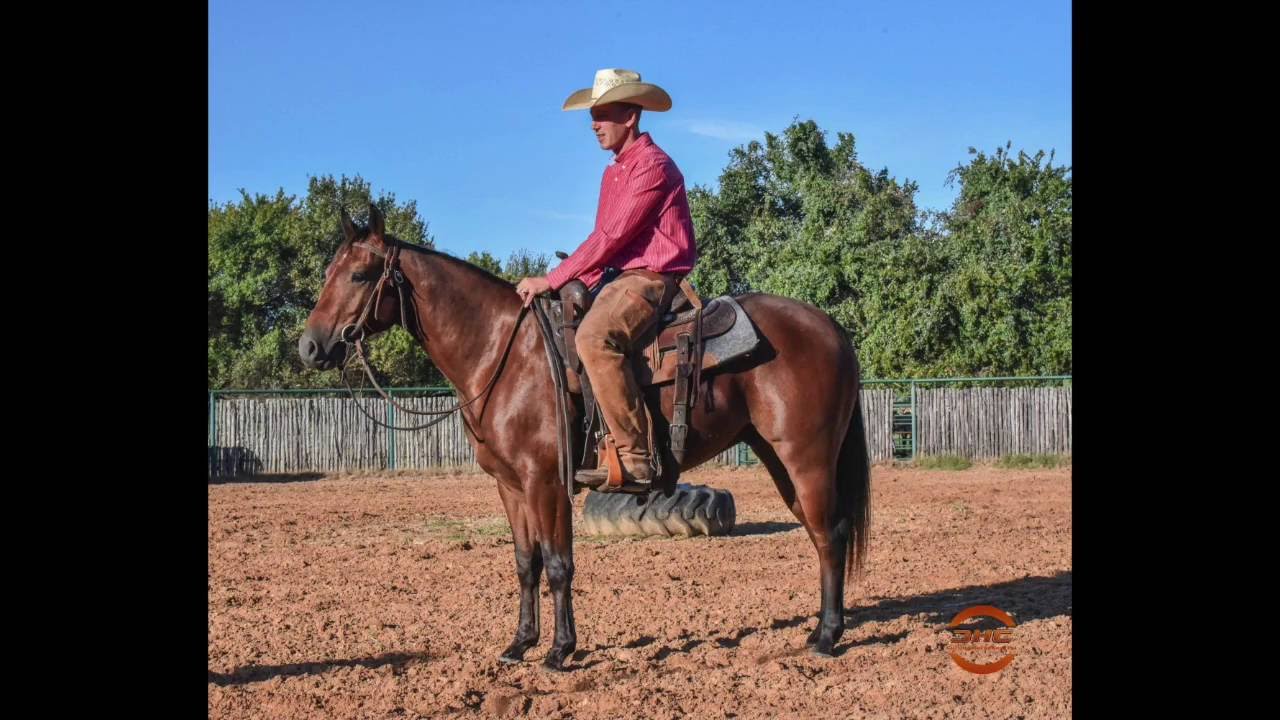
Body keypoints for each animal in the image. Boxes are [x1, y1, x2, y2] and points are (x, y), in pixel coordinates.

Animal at [298, 204, 871, 670]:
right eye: (329, 272)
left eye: (359, 273)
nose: (309, 346)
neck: (503, 353)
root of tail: (831, 329)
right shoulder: (510, 486)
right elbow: (525, 563)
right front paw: (519, 644)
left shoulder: (547, 482)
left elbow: (558, 565)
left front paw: (559, 650)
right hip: (778, 459)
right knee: (820, 531)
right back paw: (820, 630)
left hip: (807, 458)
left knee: (830, 533)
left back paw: (826, 638)